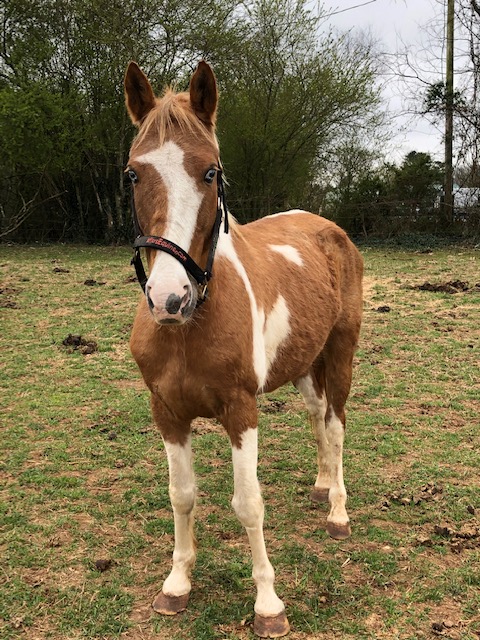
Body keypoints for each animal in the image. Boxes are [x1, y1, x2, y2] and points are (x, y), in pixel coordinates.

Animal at [124, 60, 363, 638]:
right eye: (134, 173)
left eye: (211, 172)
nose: (169, 298)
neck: (189, 327)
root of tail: (329, 229)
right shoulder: (167, 413)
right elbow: (182, 495)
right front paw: (177, 584)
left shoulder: (241, 410)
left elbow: (248, 504)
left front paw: (268, 603)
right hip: (302, 364)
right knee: (317, 413)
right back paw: (322, 484)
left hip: (341, 352)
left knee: (337, 422)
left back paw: (338, 511)